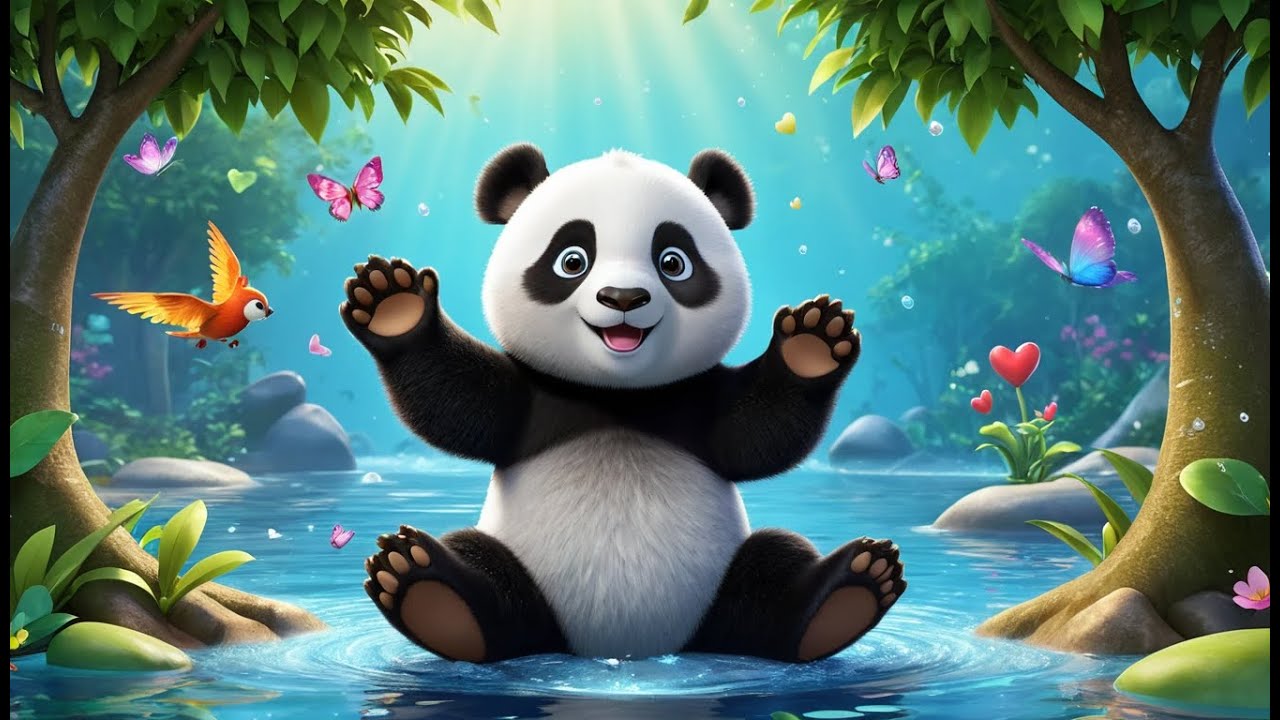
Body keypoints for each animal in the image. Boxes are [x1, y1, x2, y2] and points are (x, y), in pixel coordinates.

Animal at [340, 144, 905, 664]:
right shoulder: (537, 394)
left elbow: (759, 434)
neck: (618, 396)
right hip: (529, 578)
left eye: (673, 262)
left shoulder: (692, 398)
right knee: (488, 579)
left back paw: (847, 593)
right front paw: (394, 304)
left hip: (720, 585)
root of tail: (621, 647)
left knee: (773, 569)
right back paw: (429, 590)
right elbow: (456, 405)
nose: (624, 298)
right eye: (572, 259)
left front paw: (811, 343)